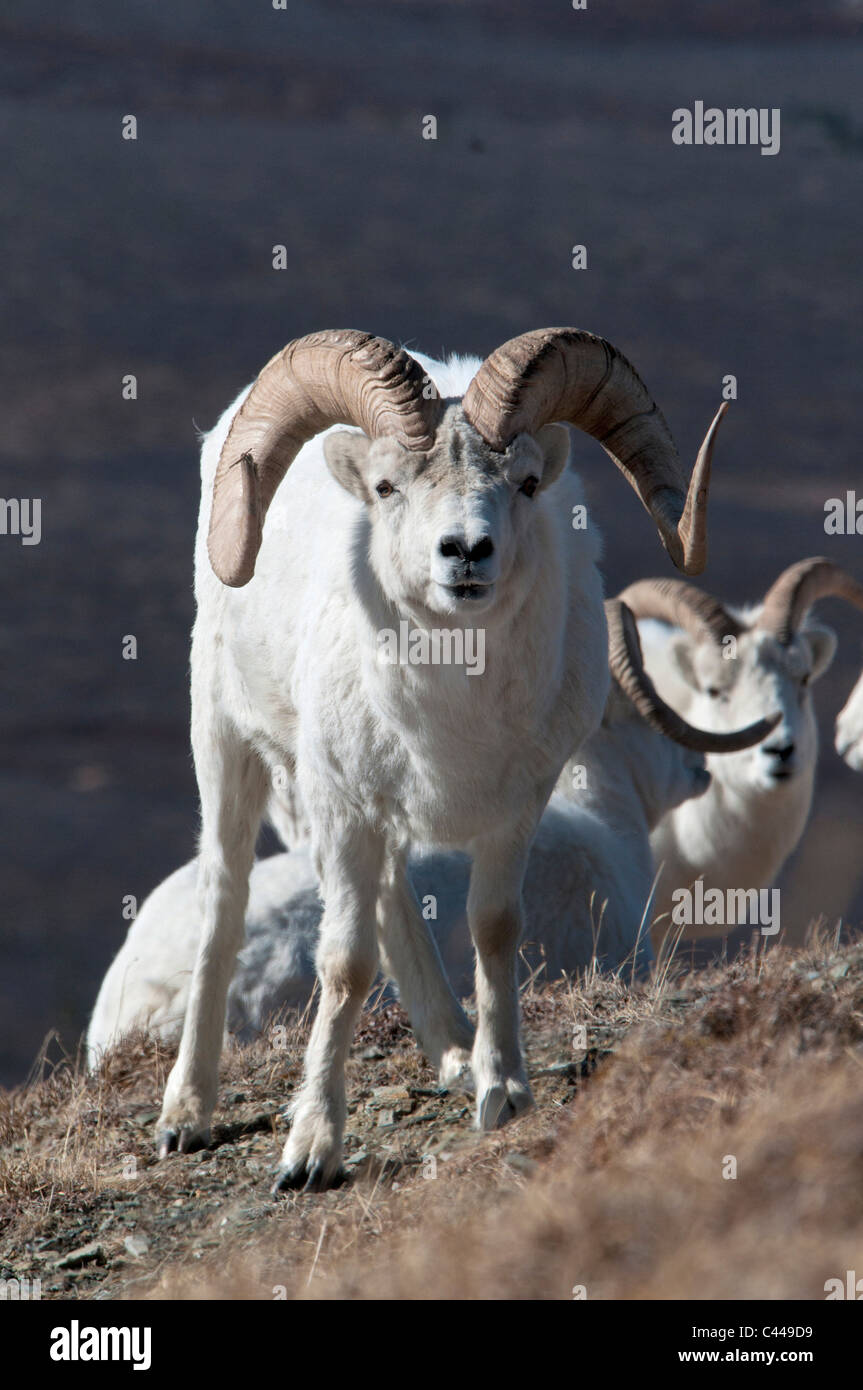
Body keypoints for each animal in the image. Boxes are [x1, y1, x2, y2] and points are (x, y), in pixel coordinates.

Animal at [159, 325, 729, 1193]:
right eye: (387, 486)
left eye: (524, 482)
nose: (465, 552)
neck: (453, 712)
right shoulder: (343, 805)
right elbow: (344, 964)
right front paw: (311, 1152)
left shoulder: (513, 809)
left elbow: (492, 929)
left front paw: (501, 1088)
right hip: (226, 744)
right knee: (224, 900)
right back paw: (185, 1116)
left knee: (394, 897)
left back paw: (455, 1054)